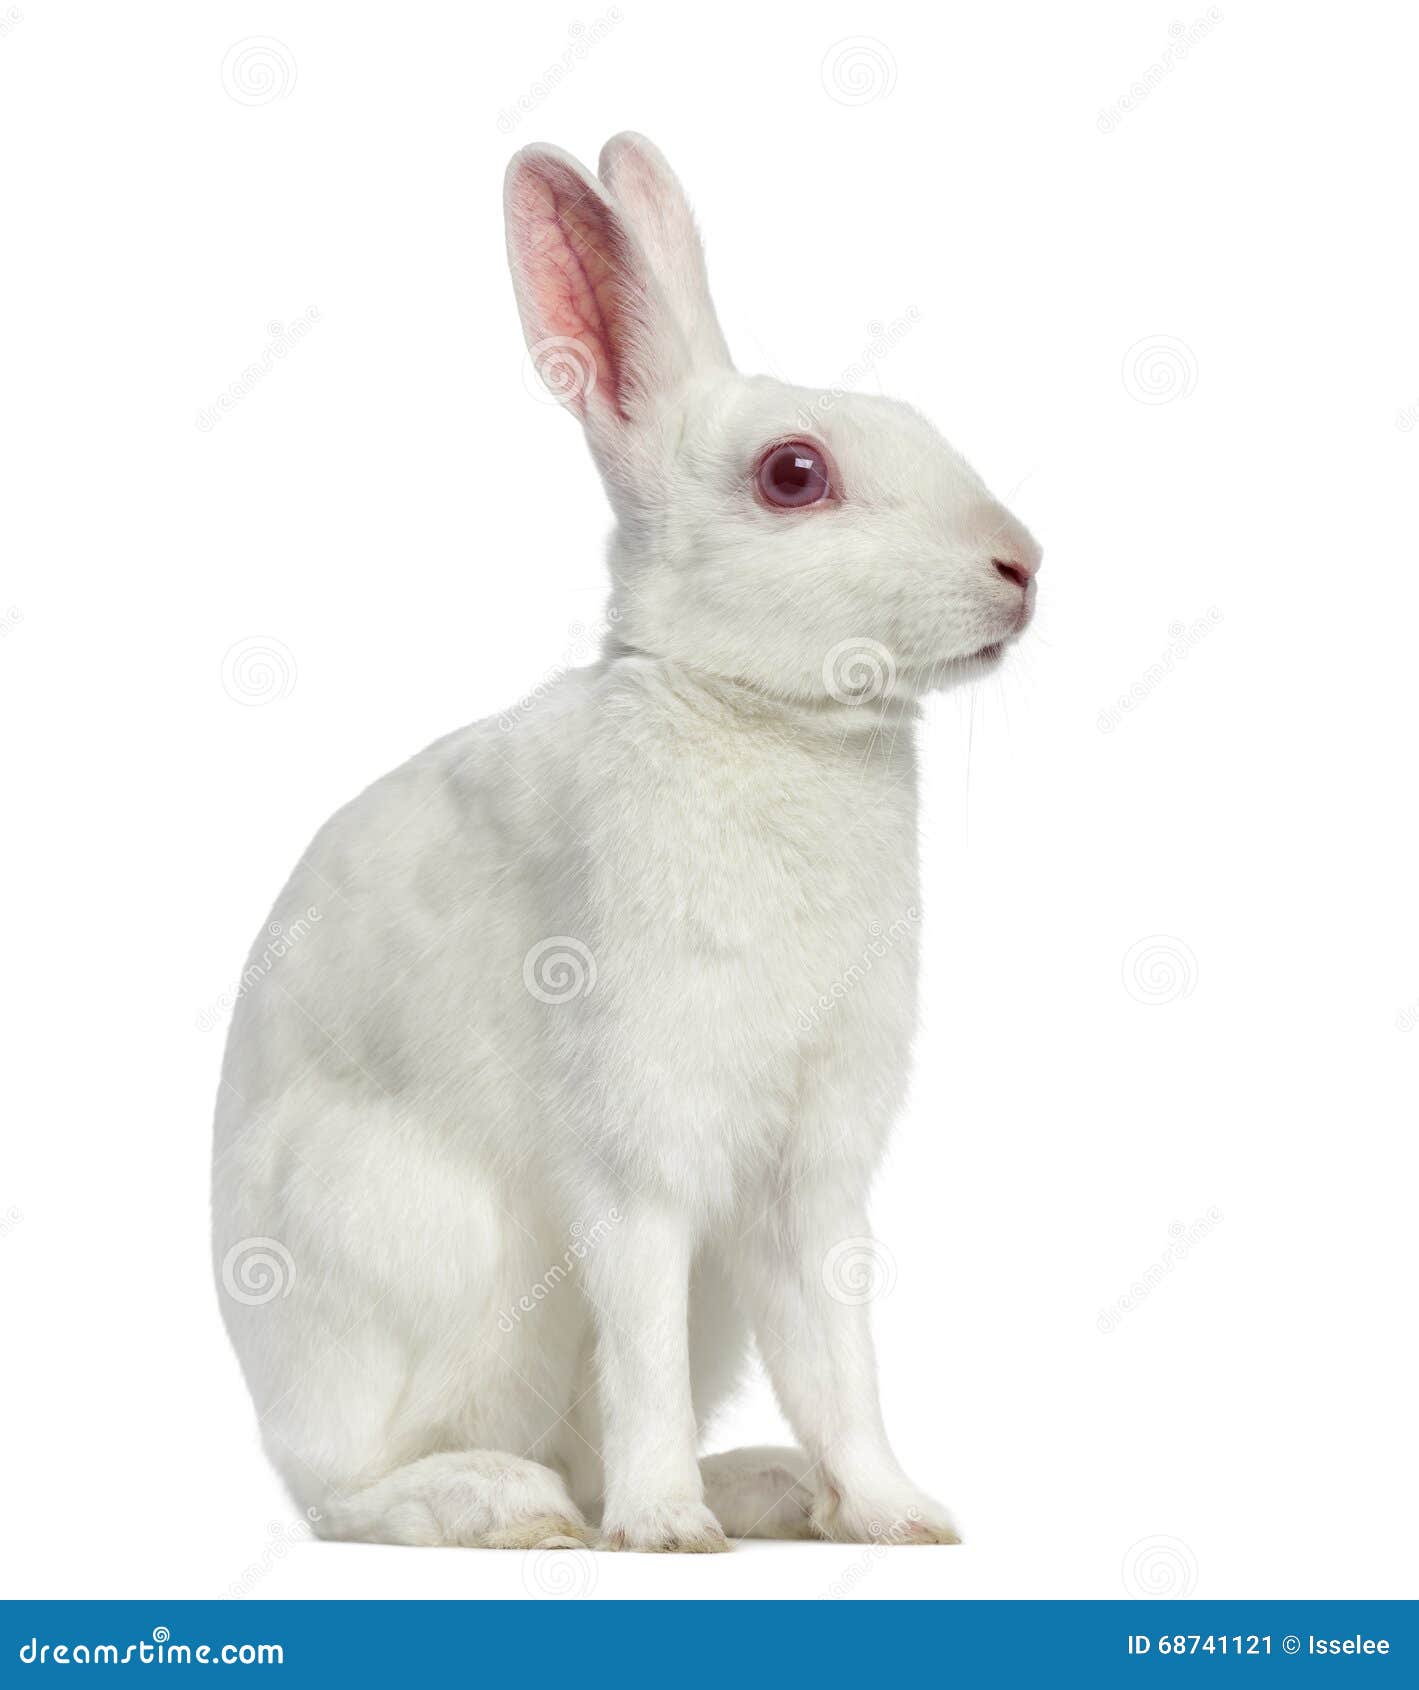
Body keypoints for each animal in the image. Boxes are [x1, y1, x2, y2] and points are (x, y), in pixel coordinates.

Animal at [212, 132, 1041, 1554]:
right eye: (794, 474)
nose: (1023, 564)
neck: (758, 712)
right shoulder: (637, 1157)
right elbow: (640, 1338)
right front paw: (668, 1535)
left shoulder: (811, 1174)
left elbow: (839, 1354)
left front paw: (899, 1514)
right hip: (411, 1255)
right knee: (348, 1490)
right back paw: (507, 1503)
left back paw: (769, 1488)